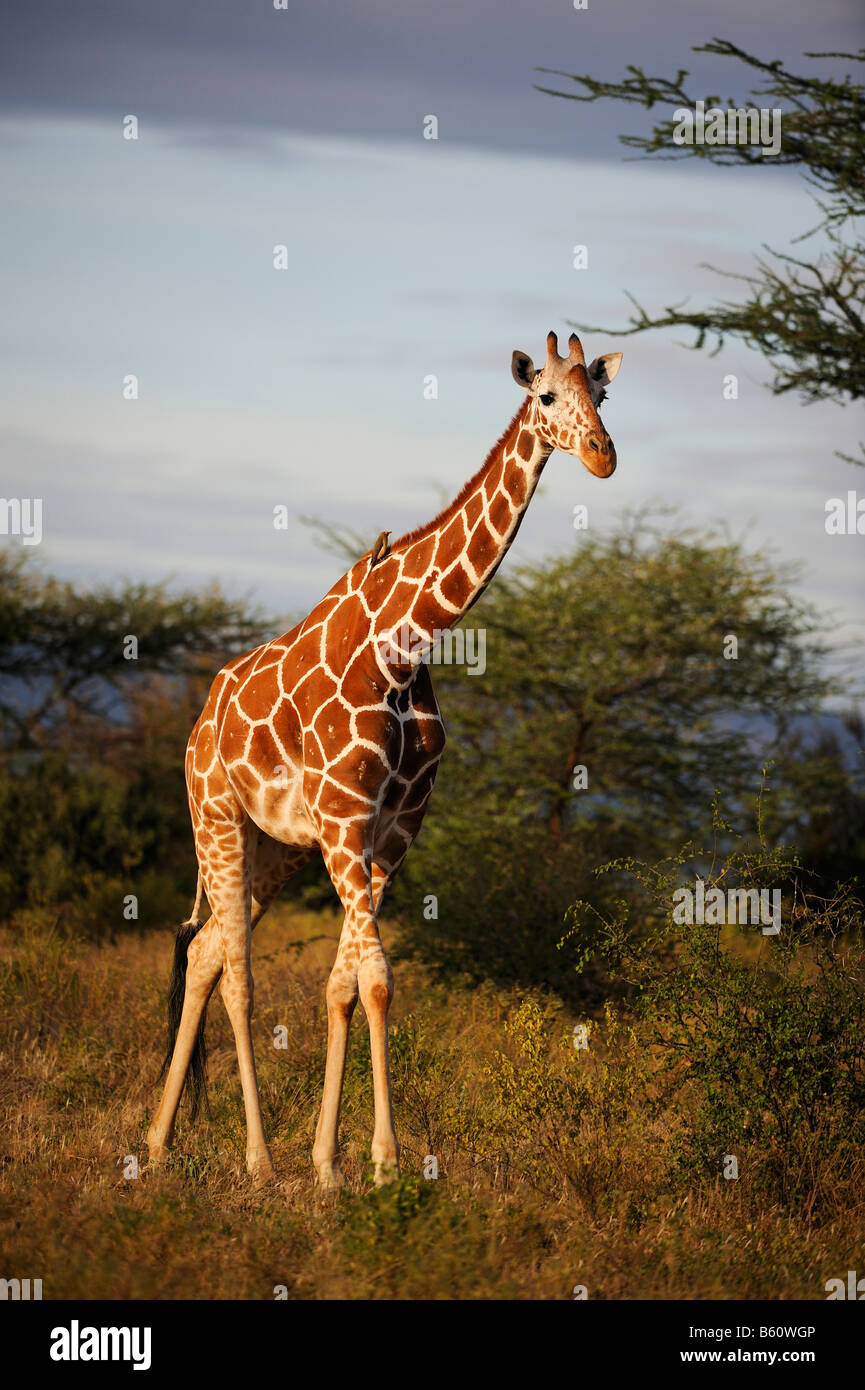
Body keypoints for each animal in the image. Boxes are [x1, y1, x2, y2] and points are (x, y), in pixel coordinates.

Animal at [146, 330, 623, 1191]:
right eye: (545, 397)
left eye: (601, 397)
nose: (603, 456)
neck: (407, 640)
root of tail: (200, 722)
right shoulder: (345, 818)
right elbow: (374, 979)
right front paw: (384, 1160)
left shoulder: (391, 829)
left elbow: (344, 983)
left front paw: (333, 1161)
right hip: (216, 814)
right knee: (236, 969)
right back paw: (255, 1159)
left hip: (276, 846)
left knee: (202, 953)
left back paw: (161, 1141)